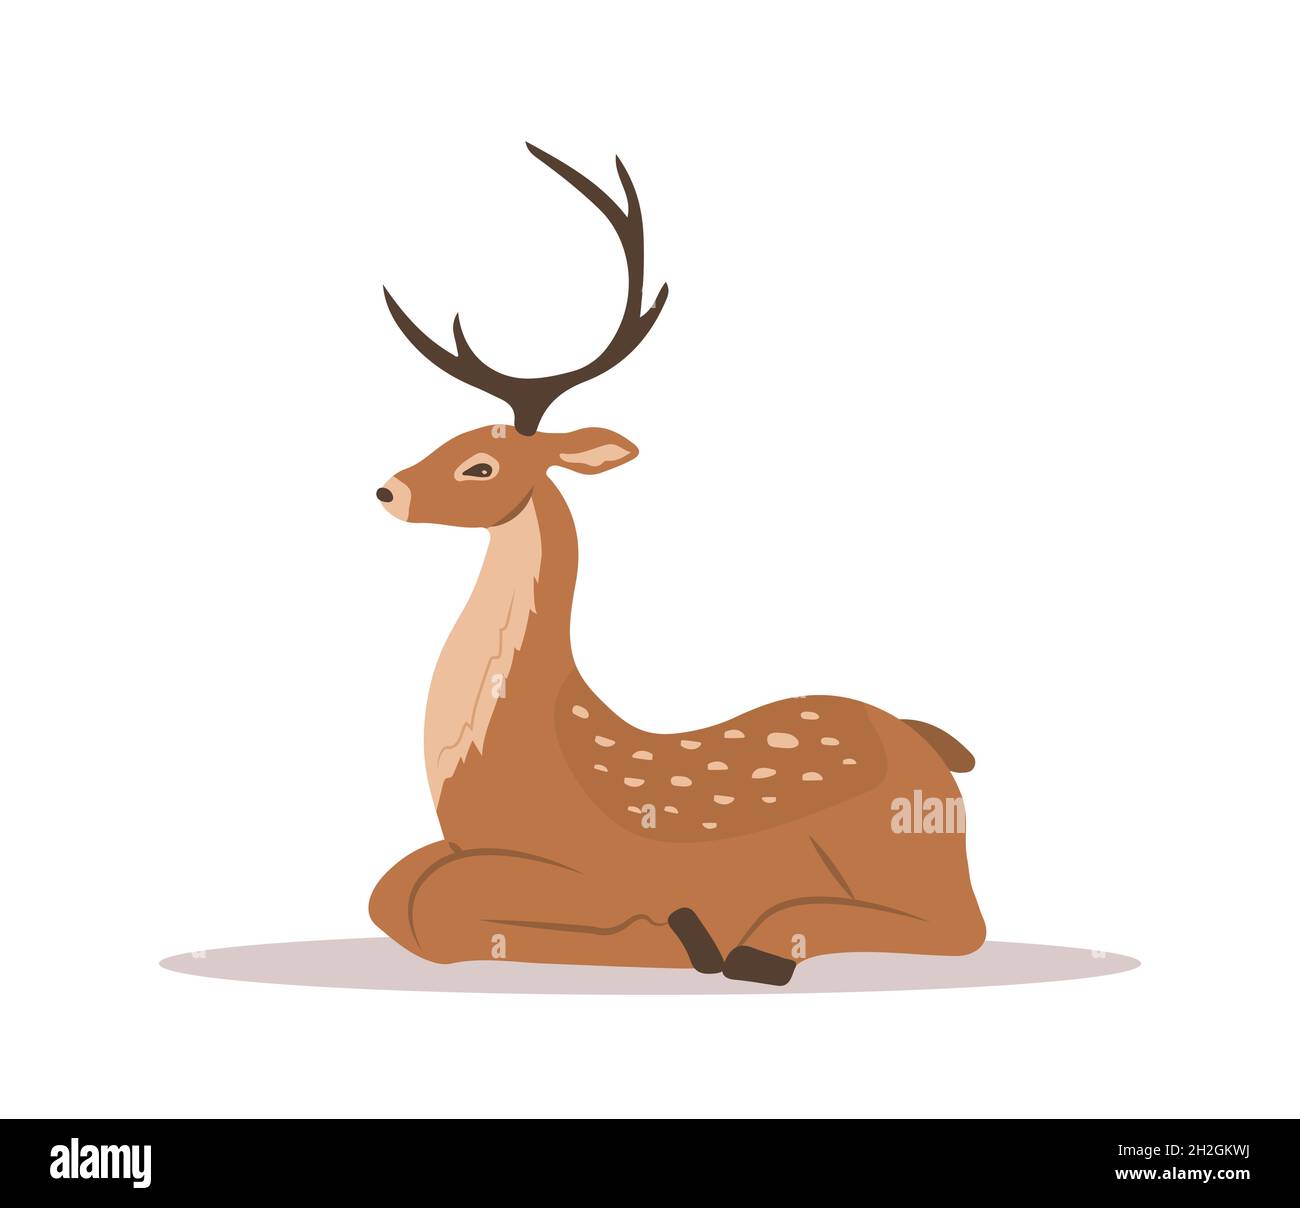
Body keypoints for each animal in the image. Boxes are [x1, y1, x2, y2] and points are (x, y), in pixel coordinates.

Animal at [368, 144, 985, 985]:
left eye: (480, 467)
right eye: (451, 438)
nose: (386, 488)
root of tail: (935, 748)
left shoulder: (594, 869)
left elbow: (432, 904)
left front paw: (675, 935)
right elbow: (392, 888)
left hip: (905, 850)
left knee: (959, 927)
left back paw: (760, 941)